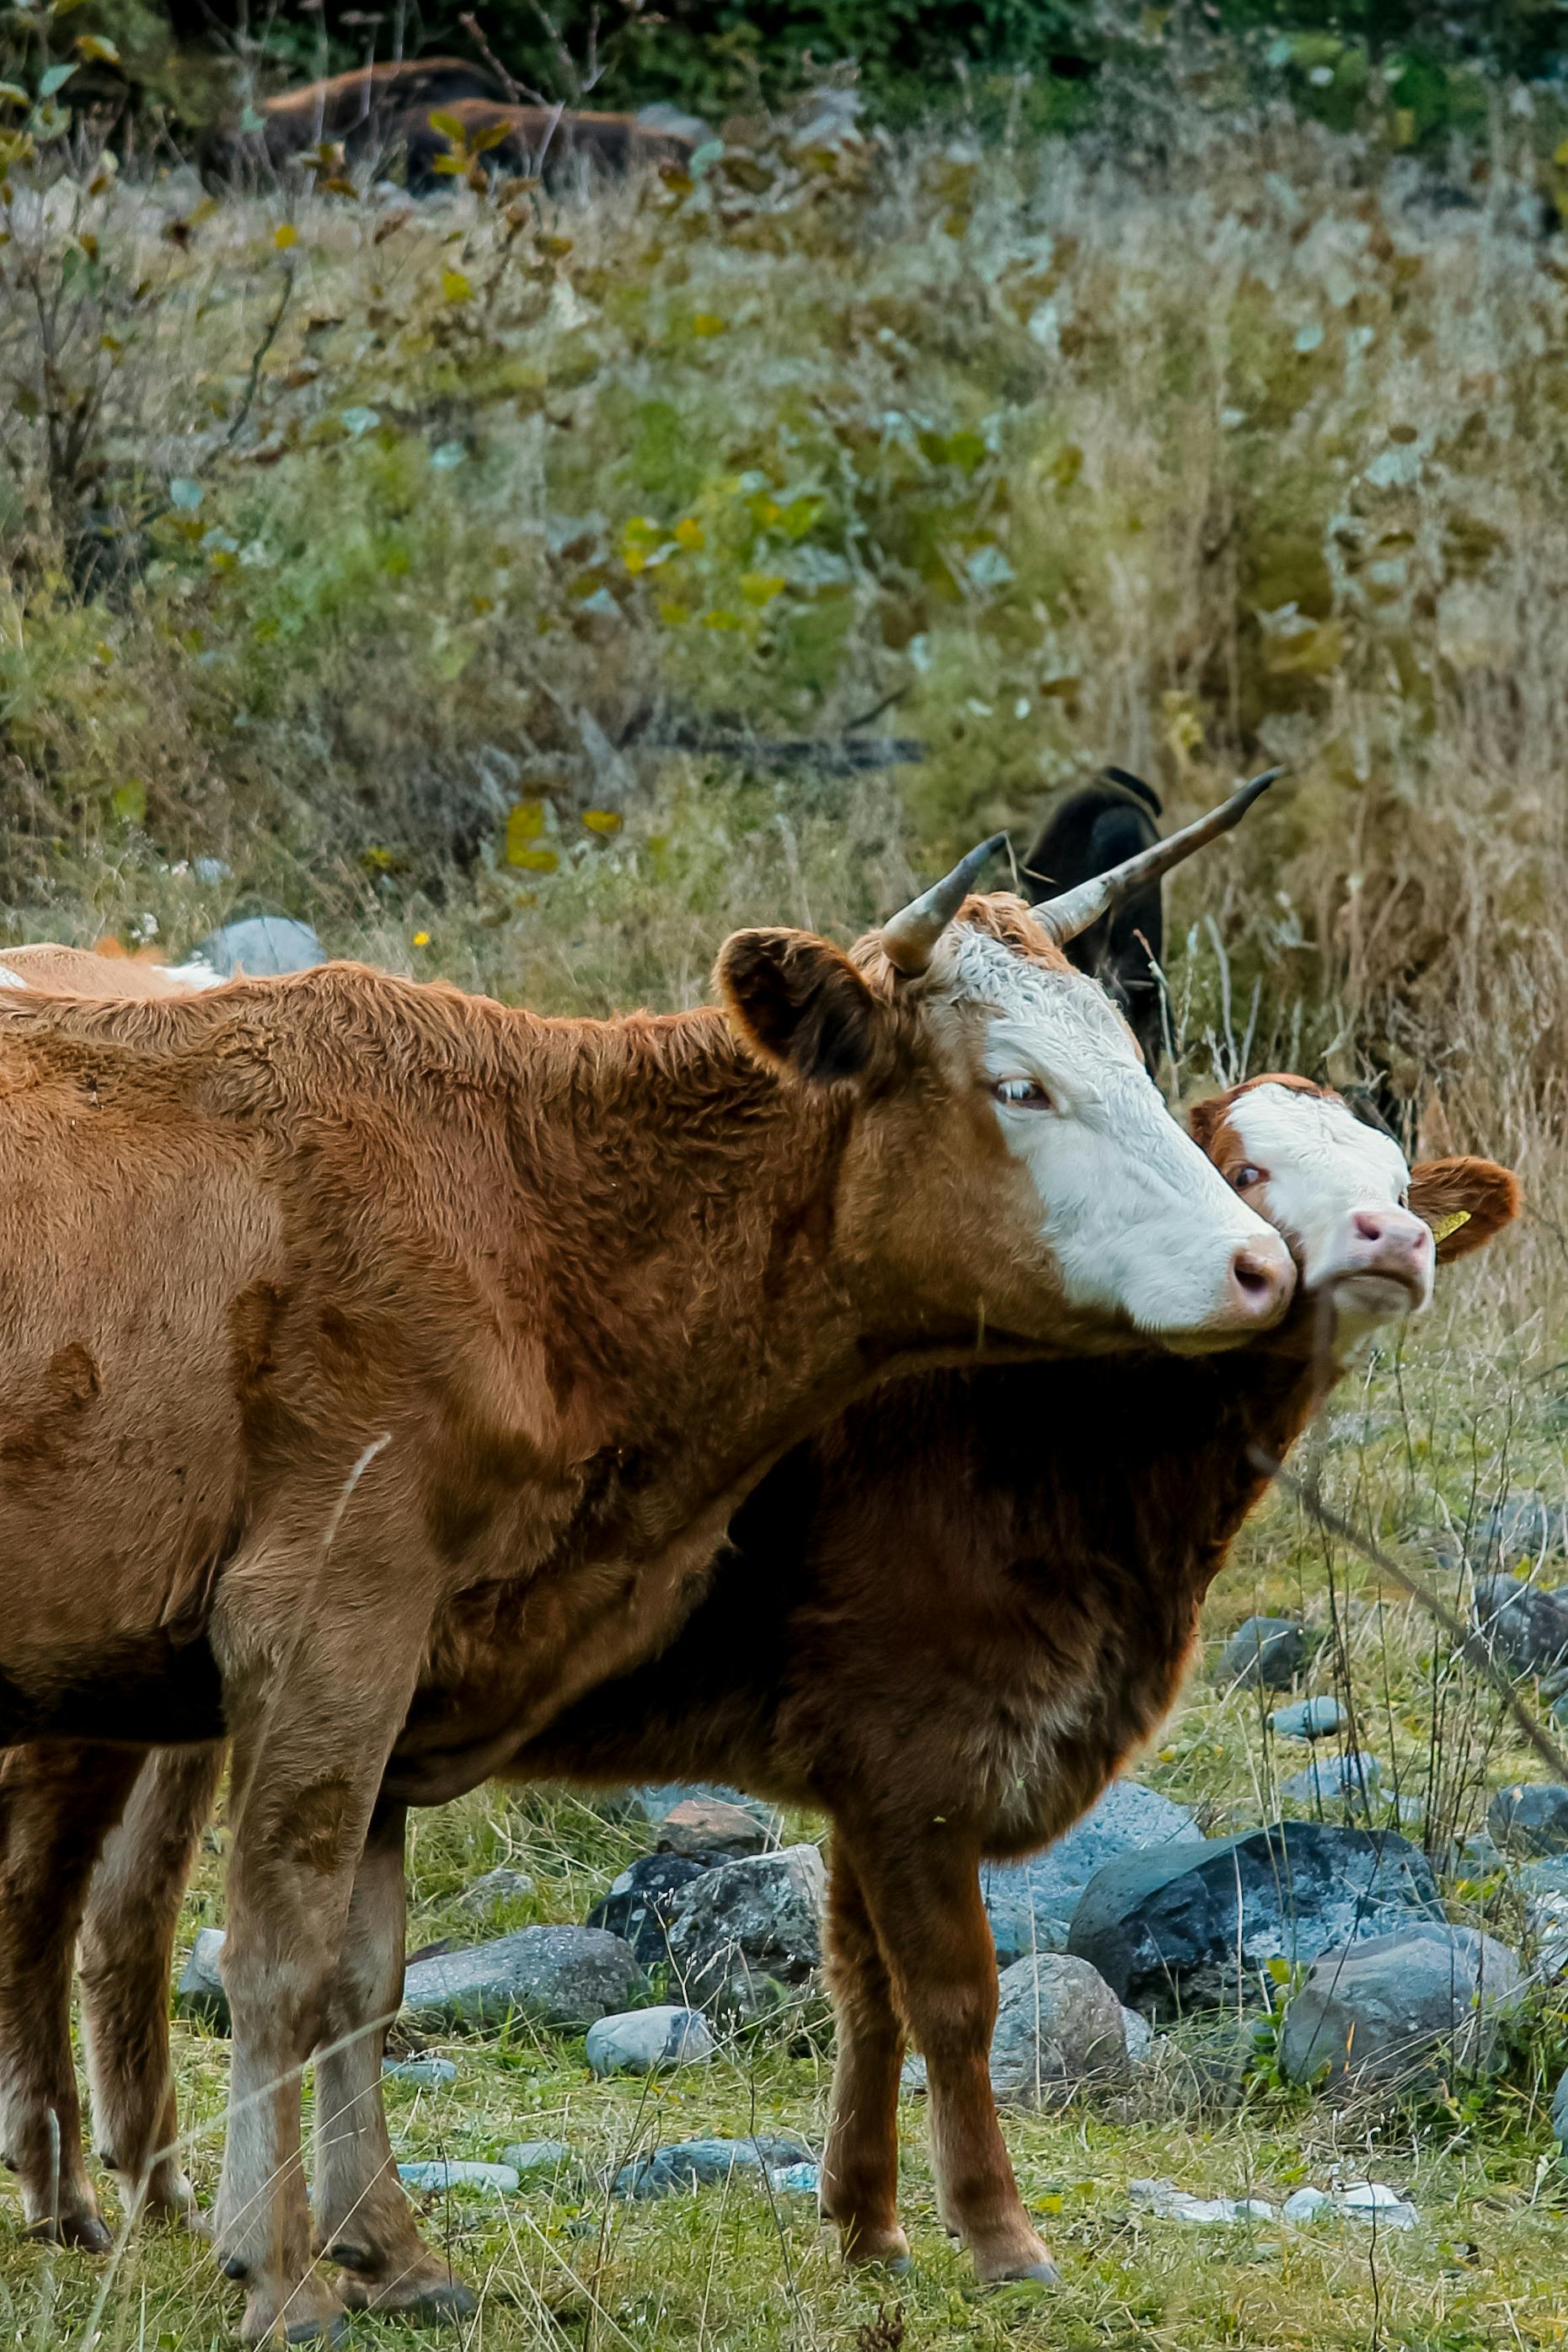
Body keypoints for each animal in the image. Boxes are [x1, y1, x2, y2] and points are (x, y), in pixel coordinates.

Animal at [0, 1074, 1515, 2303]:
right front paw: (1000, 2236)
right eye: (1246, 1168)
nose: (1393, 1240)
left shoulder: (864, 1767)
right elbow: (955, 1995)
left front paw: (867, 2221)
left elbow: (865, 1988)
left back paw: (152, 2189)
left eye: (1392, 1175)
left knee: (124, 1910)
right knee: (48, 1894)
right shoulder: (921, 1748)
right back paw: (71, 2189)